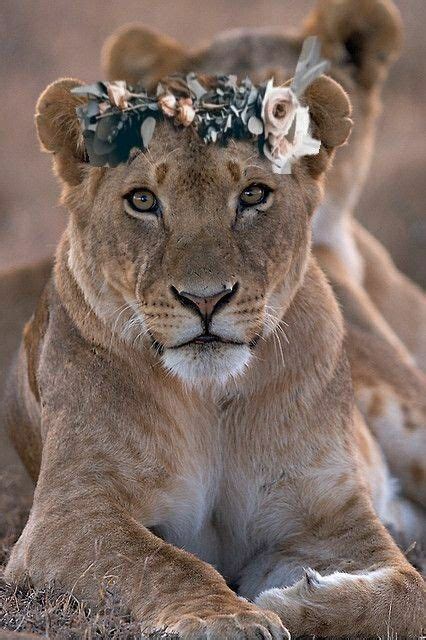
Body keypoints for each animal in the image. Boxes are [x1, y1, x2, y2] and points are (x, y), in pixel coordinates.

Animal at [3, 65, 425, 638]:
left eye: (253, 194)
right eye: (142, 200)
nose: (205, 299)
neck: (212, 397)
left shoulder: (332, 517)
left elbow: (407, 591)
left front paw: (290, 602)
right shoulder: (66, 517)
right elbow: (160, 562)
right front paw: (233, 617)